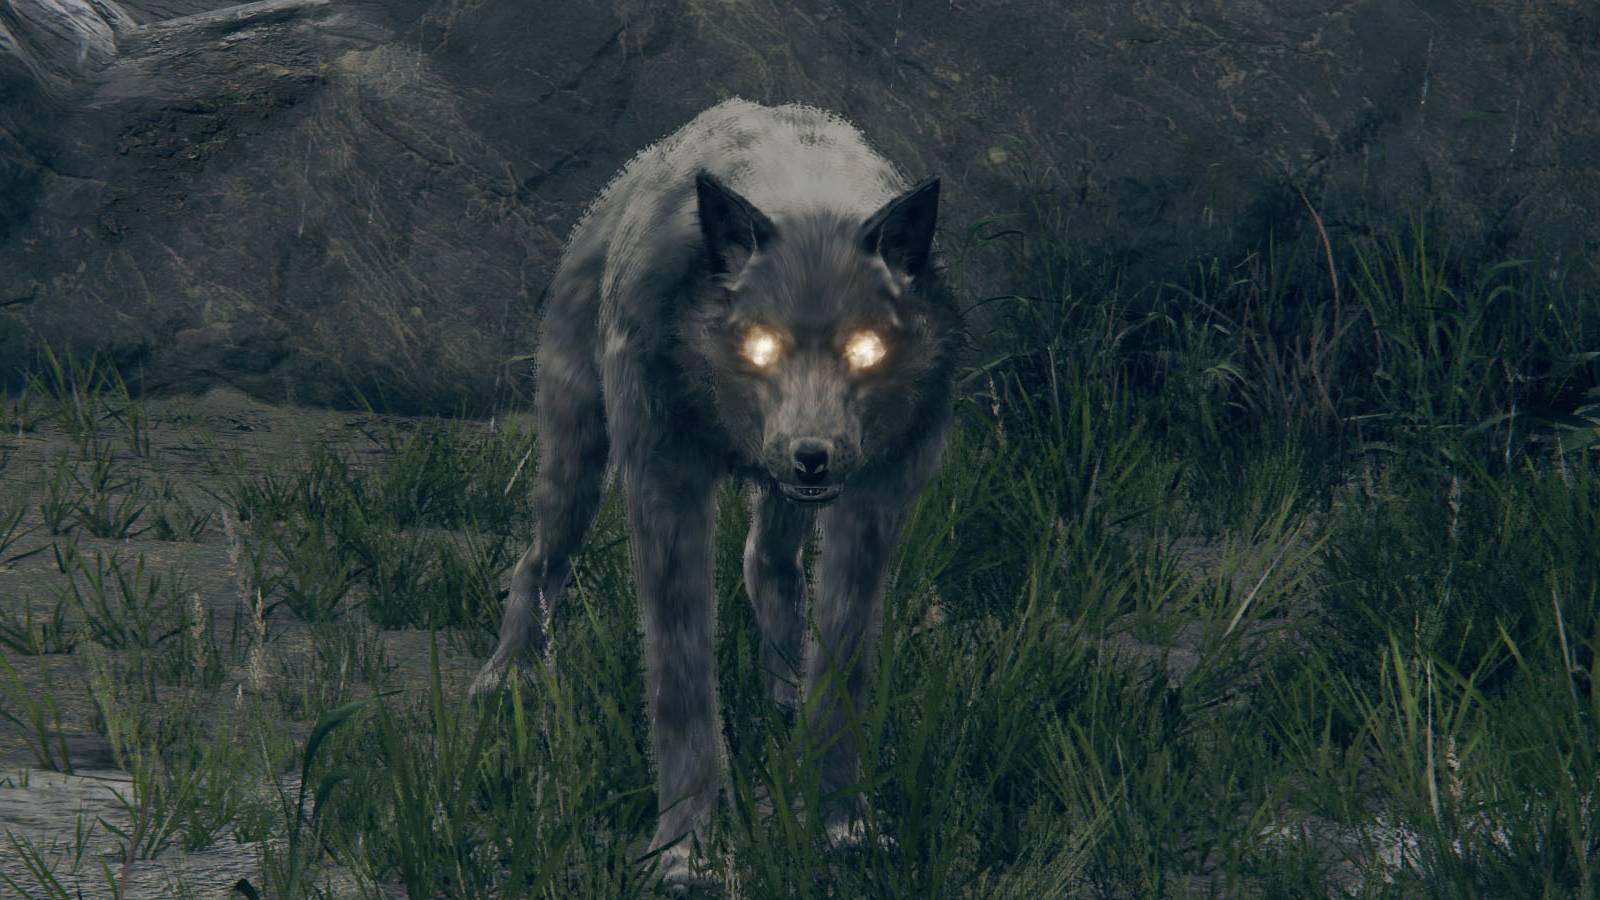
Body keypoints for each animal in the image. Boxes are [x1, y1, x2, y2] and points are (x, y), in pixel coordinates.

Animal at [470, 98, 960, 888]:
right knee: (535, 560)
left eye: (865, 349)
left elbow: (844, 674)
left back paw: (784, 689)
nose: (812, 456)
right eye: (760, 346)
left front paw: (843, 827)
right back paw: (505, 679)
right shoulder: (665, 488)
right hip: (577, 459)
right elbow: (680, 686)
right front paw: (686, 852)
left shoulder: (875, 504)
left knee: (766, 561)